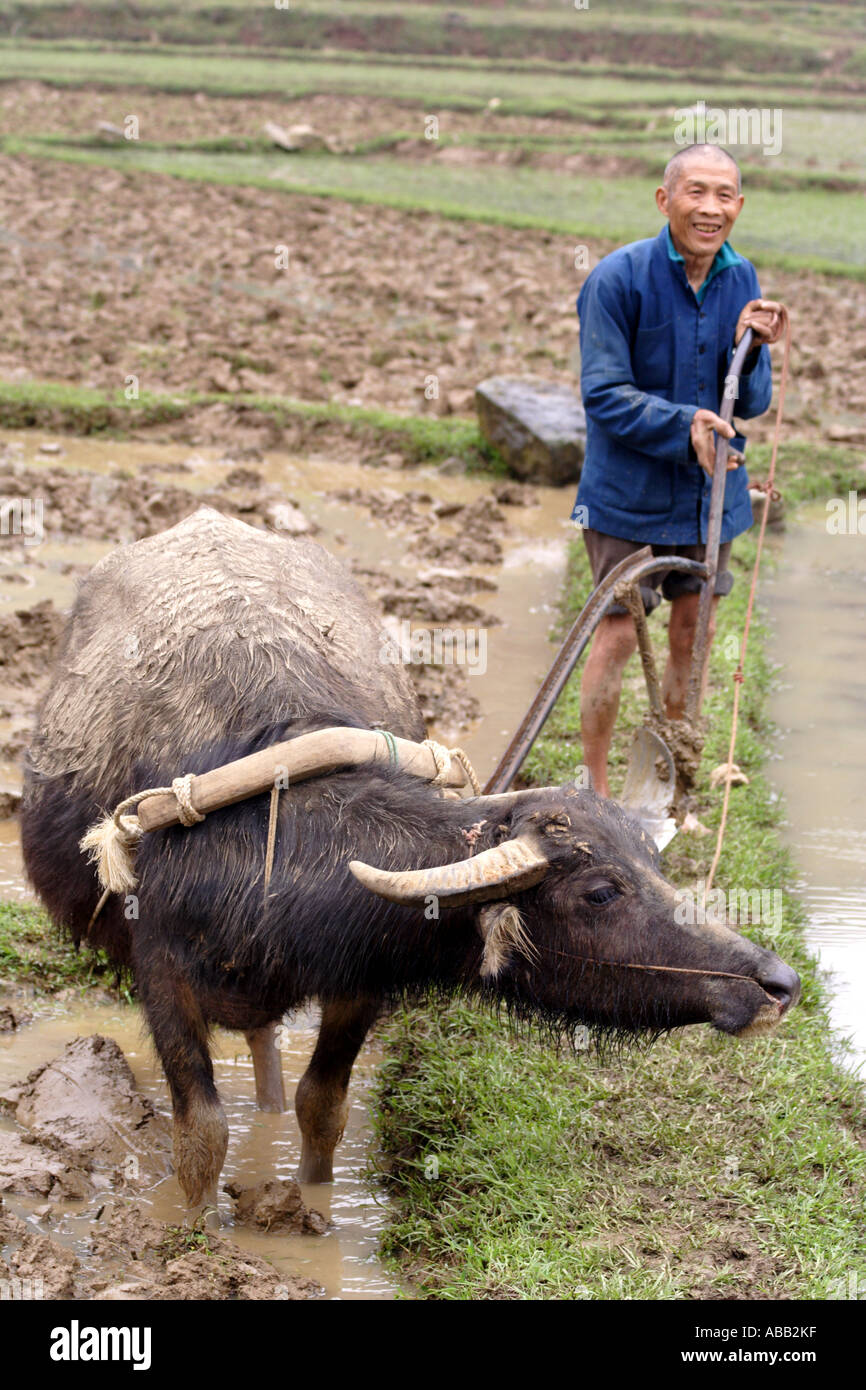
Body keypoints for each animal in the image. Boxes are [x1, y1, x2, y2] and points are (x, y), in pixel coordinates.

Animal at [20, 508, 800, 1216]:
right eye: (602, 892)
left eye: (655, 866)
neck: (271, 836)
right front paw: (195, 1232)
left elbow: (322, 1106)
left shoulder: (360, 979)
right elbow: (201, 1135)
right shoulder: (161, 975)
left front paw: (312, 1204)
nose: (778, 984)